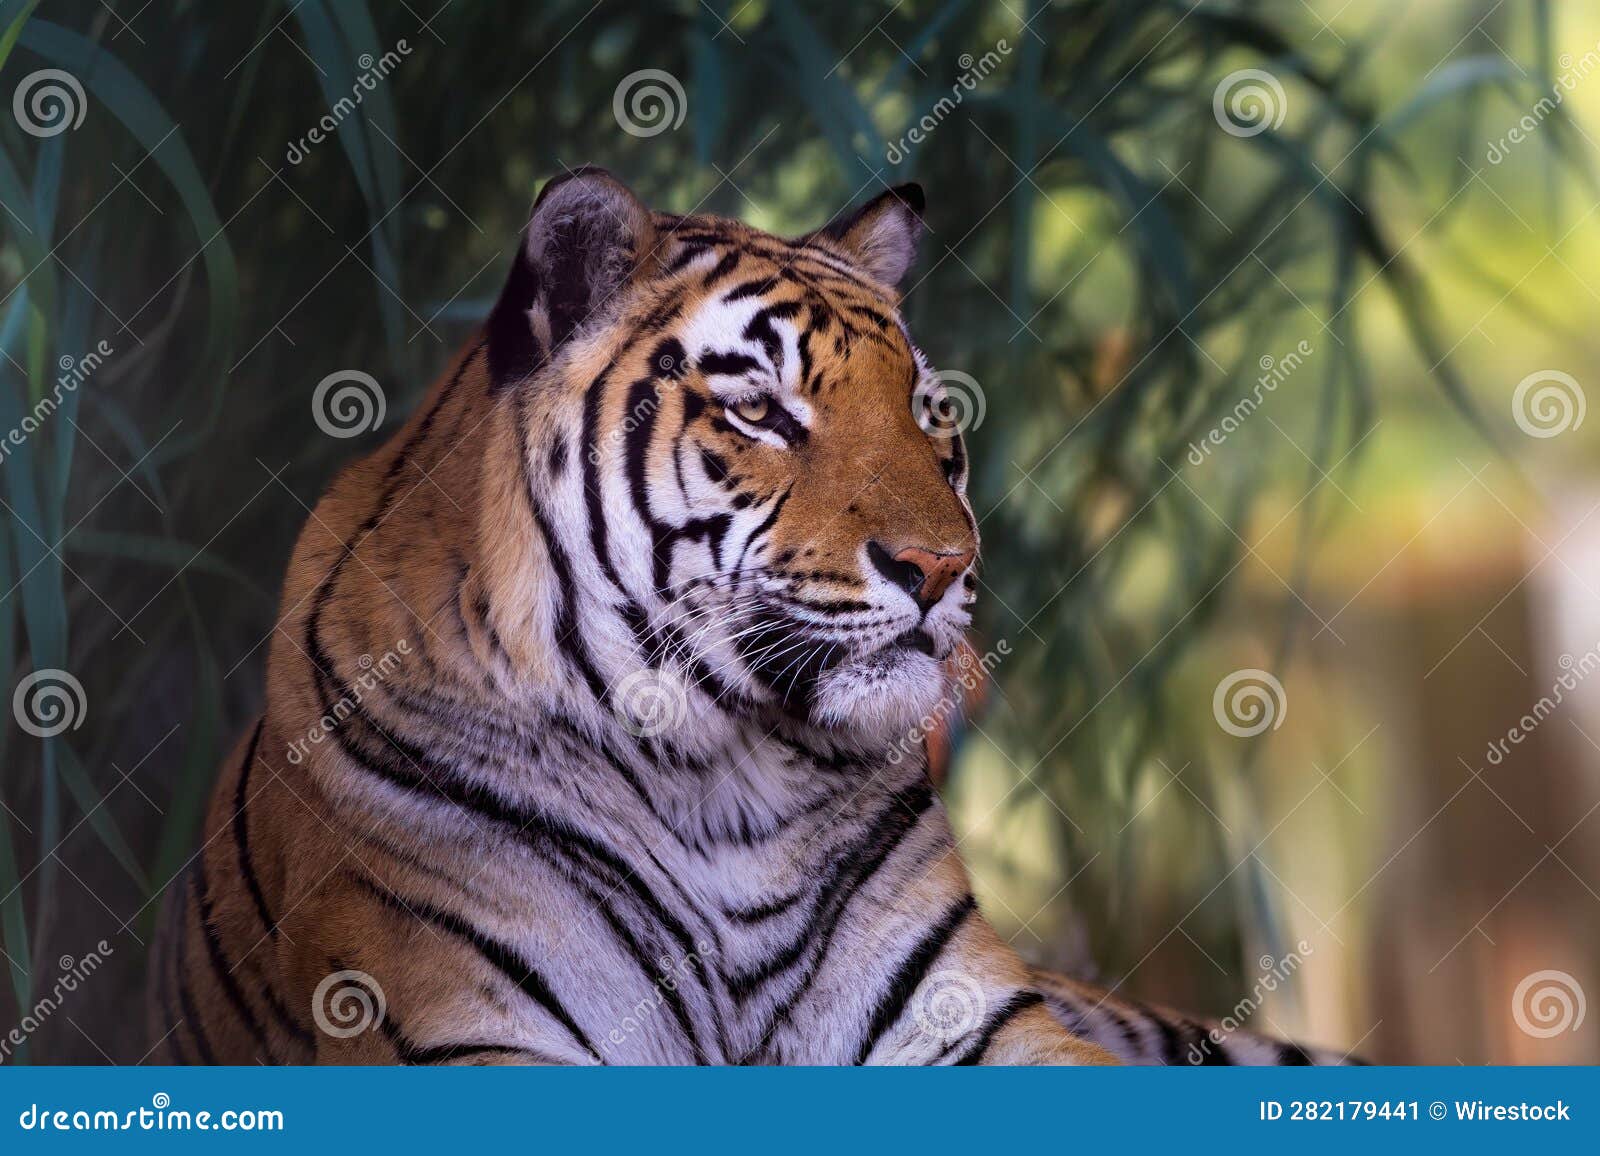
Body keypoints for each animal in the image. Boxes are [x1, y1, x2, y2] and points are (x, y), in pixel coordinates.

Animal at [147, 167, 1353, 1066]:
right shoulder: (463, 1026)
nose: (941, 565)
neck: (718, 775)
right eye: (762, 410)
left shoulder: (977, 1018)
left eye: (930, 413)